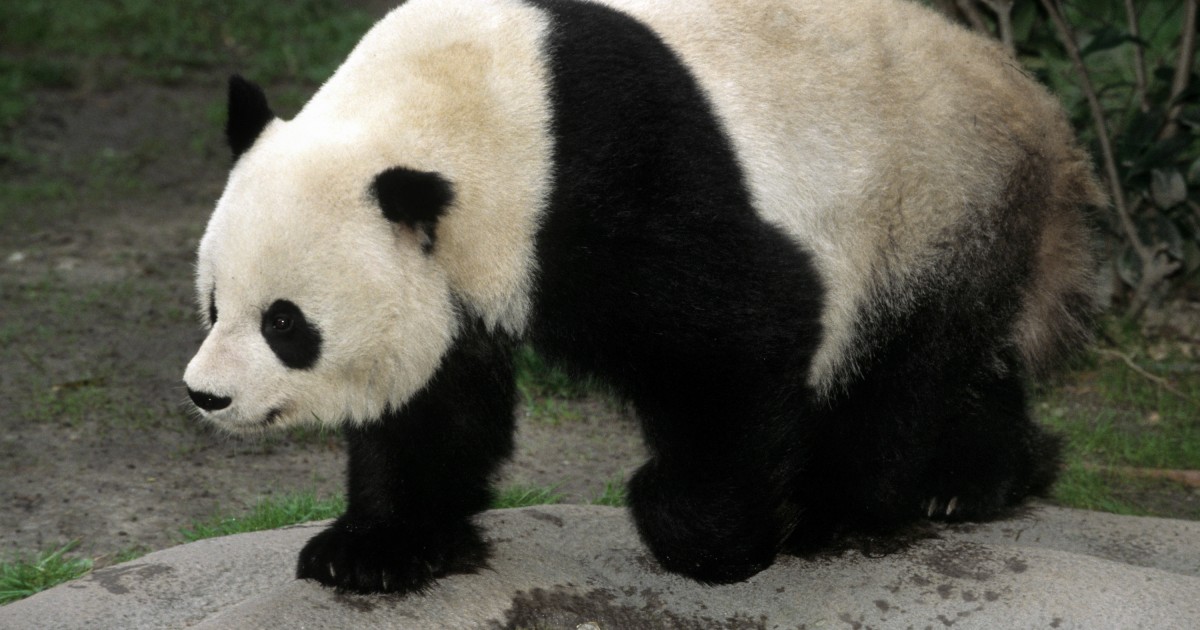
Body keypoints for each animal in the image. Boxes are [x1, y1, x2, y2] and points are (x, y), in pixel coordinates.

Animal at [183, 0, 1102, 594]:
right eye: (213, 304)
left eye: (285, 323)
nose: (205, 395)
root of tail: (1046, 120)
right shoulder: (456, 256)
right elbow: (434, 397)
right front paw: (375, 548)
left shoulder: (603, 177)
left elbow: (743, 333)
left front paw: (704, 532)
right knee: (966, 361)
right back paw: (989, 475)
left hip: (927, 199)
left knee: (900, 370)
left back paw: (849, 506)